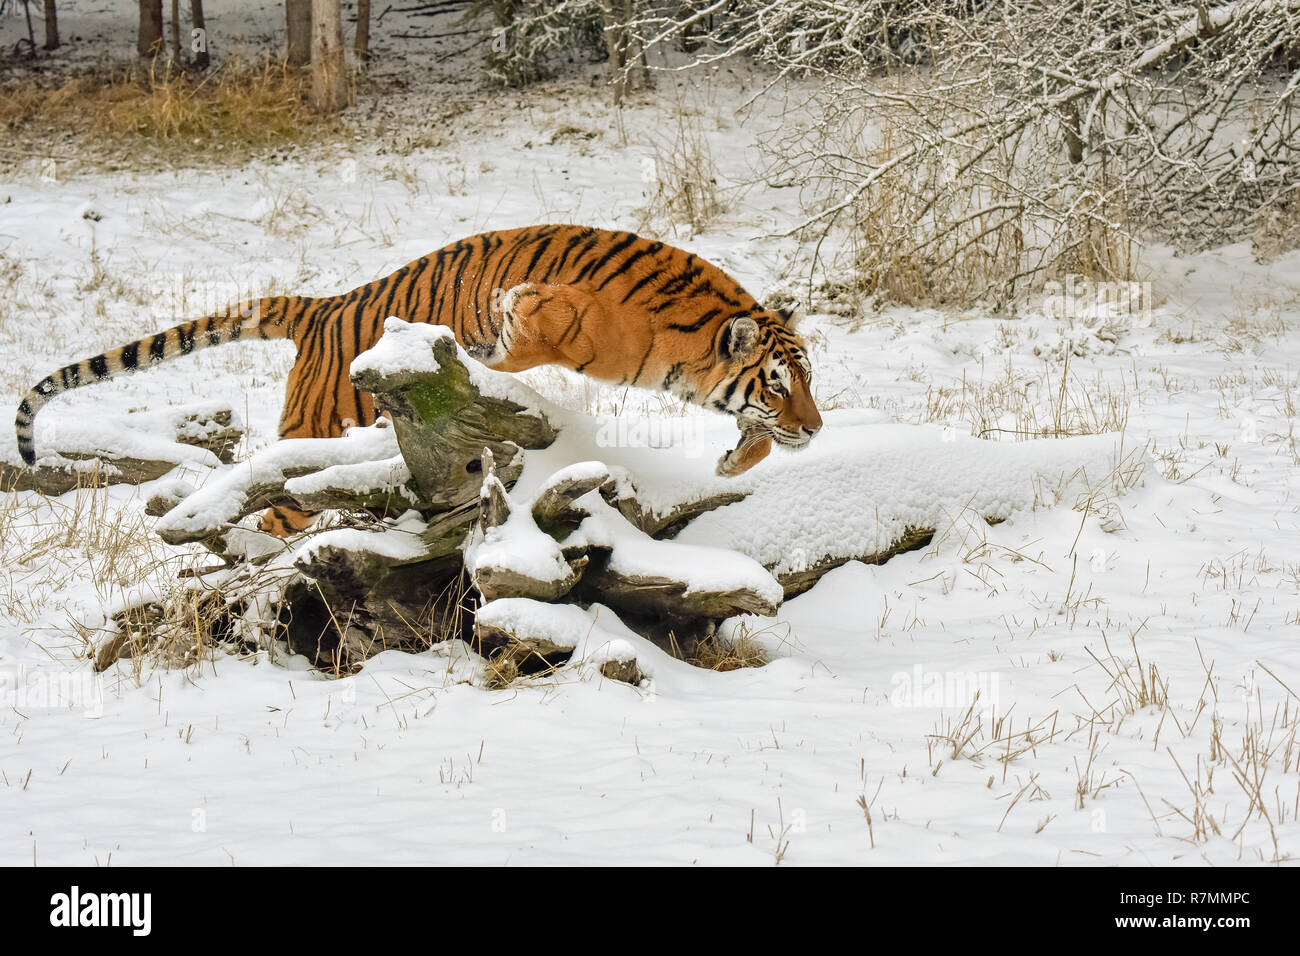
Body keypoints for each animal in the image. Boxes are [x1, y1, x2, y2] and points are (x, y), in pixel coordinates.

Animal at [15, 224, 823, 535]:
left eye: (806, 383)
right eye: (778, 384)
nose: (816, 428)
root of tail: (321, 305)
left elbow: (750, 439)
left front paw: (734, 461)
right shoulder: (541, 309)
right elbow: (509, 356)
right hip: (313, 429)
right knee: (278, 502)